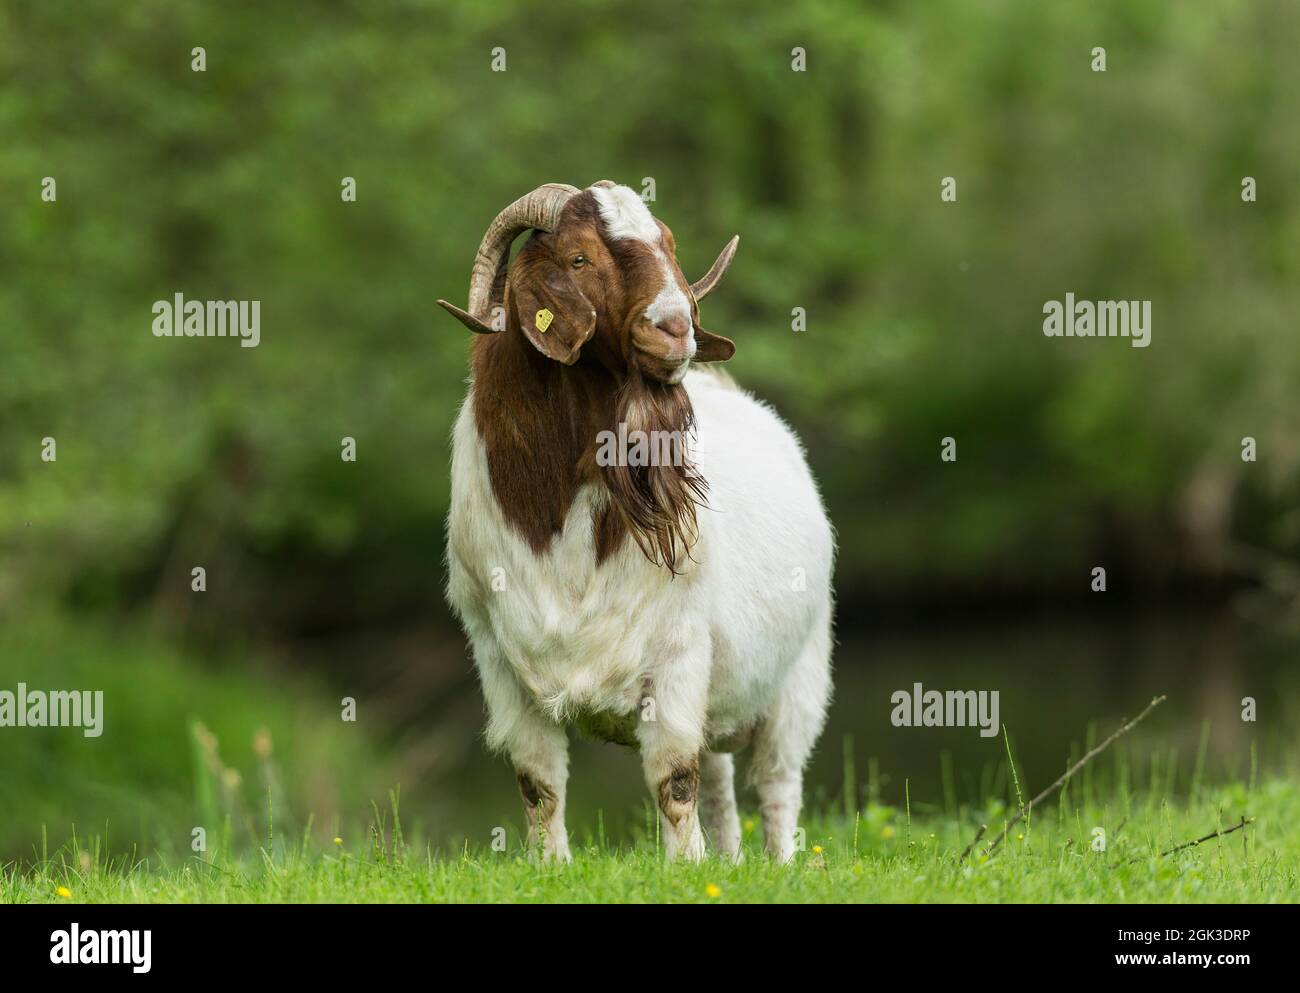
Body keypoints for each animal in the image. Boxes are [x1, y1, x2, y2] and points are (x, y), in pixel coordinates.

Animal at [437, 182, 834, 862]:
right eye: (578, 259)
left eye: (668, 247)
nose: (676, 330)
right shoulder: (497, 655)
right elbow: (538, 781)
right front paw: (551, 865)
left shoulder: (677, 650)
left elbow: (673, 778)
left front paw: (686, 867)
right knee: (722, 779)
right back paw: (731, 858)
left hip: (800, 677)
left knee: (779, 782)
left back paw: (780, 862)